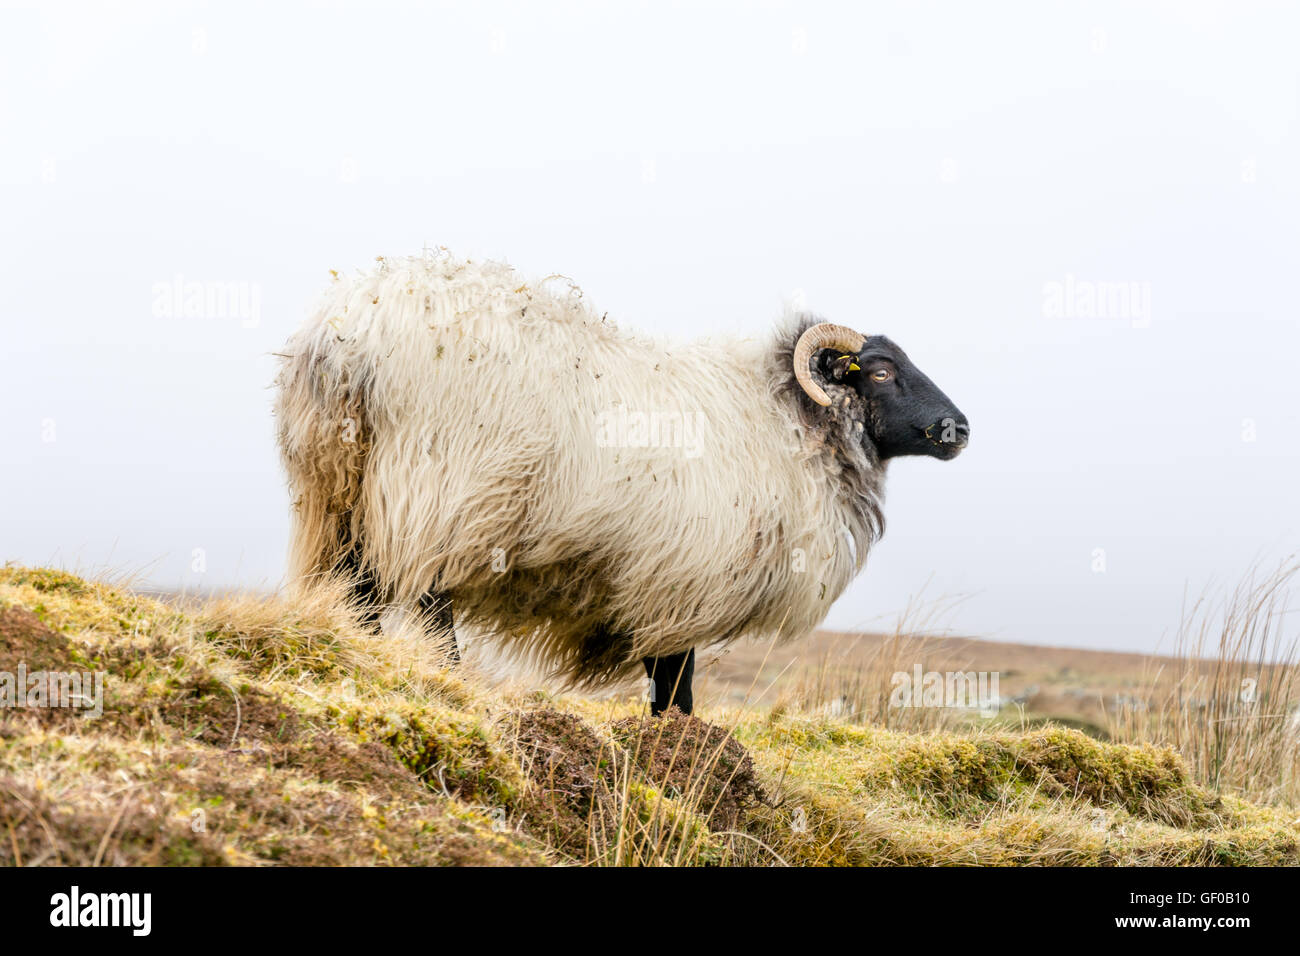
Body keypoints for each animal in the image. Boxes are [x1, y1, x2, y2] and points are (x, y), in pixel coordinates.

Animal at [274, 251, 968, 714]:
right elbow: (676, 689)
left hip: (343, 494)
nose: (958, 428)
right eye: (879, 371)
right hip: (440, 497)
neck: (786, 418)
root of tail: (346, 338)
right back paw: (449, 679)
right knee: (428, 604)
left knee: (360, 594)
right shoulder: (683, 587)